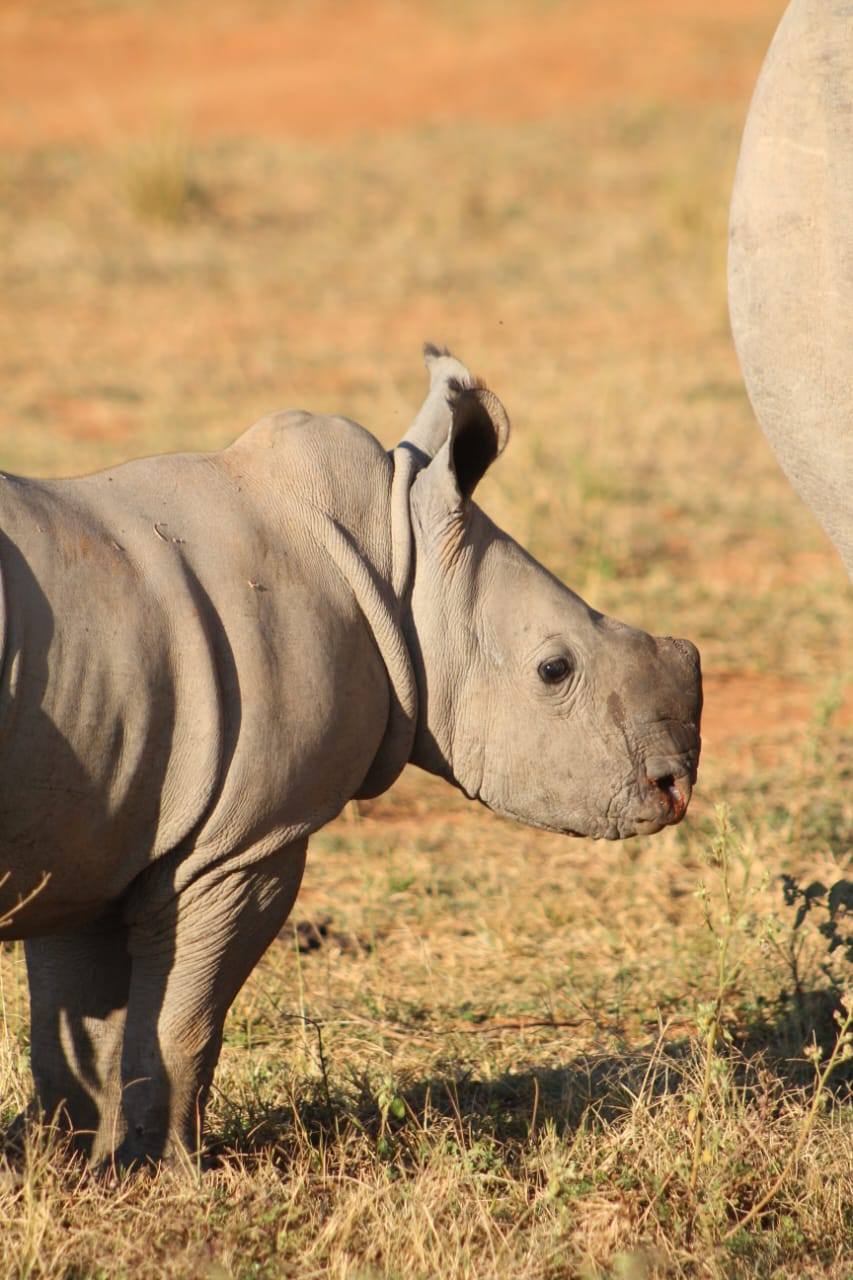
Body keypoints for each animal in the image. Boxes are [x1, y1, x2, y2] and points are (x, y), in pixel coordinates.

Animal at [0, 347, 701, 1168]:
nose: (676, 784)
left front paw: (75, 1166)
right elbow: (183, 1020)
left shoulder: (93, 818)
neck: (394, 555)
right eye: (554, 671)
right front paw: (170, 1169)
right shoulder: (239, 844)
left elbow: (79, 1027)